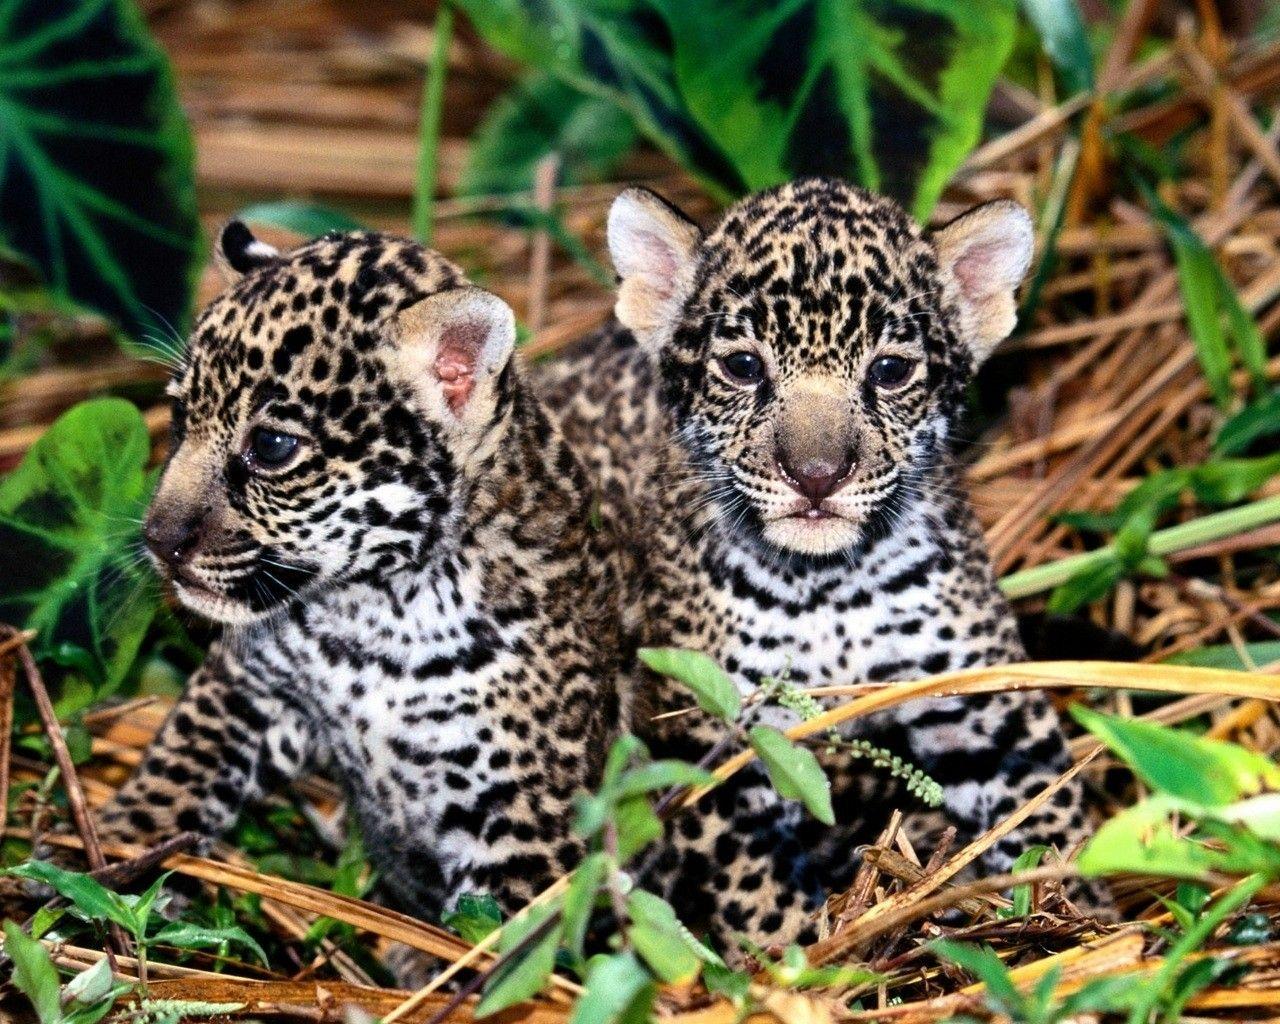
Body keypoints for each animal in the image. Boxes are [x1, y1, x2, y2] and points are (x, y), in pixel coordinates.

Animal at [98, 224, 629, 925]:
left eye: (272, 447)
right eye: (182, 418)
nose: (157, 540)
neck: (374, 617)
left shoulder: (522, 823)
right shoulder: (244, 684)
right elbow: (179, 761)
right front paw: (113, 854)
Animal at [535, 178, 1105, 953]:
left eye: (889, 371)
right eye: (743, 367)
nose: (815, 476)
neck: (829, 589)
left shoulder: (986, 705)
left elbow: (1049, 811)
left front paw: (1089, 915)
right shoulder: (718, 743)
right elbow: (758, 894)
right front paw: (804, 958)